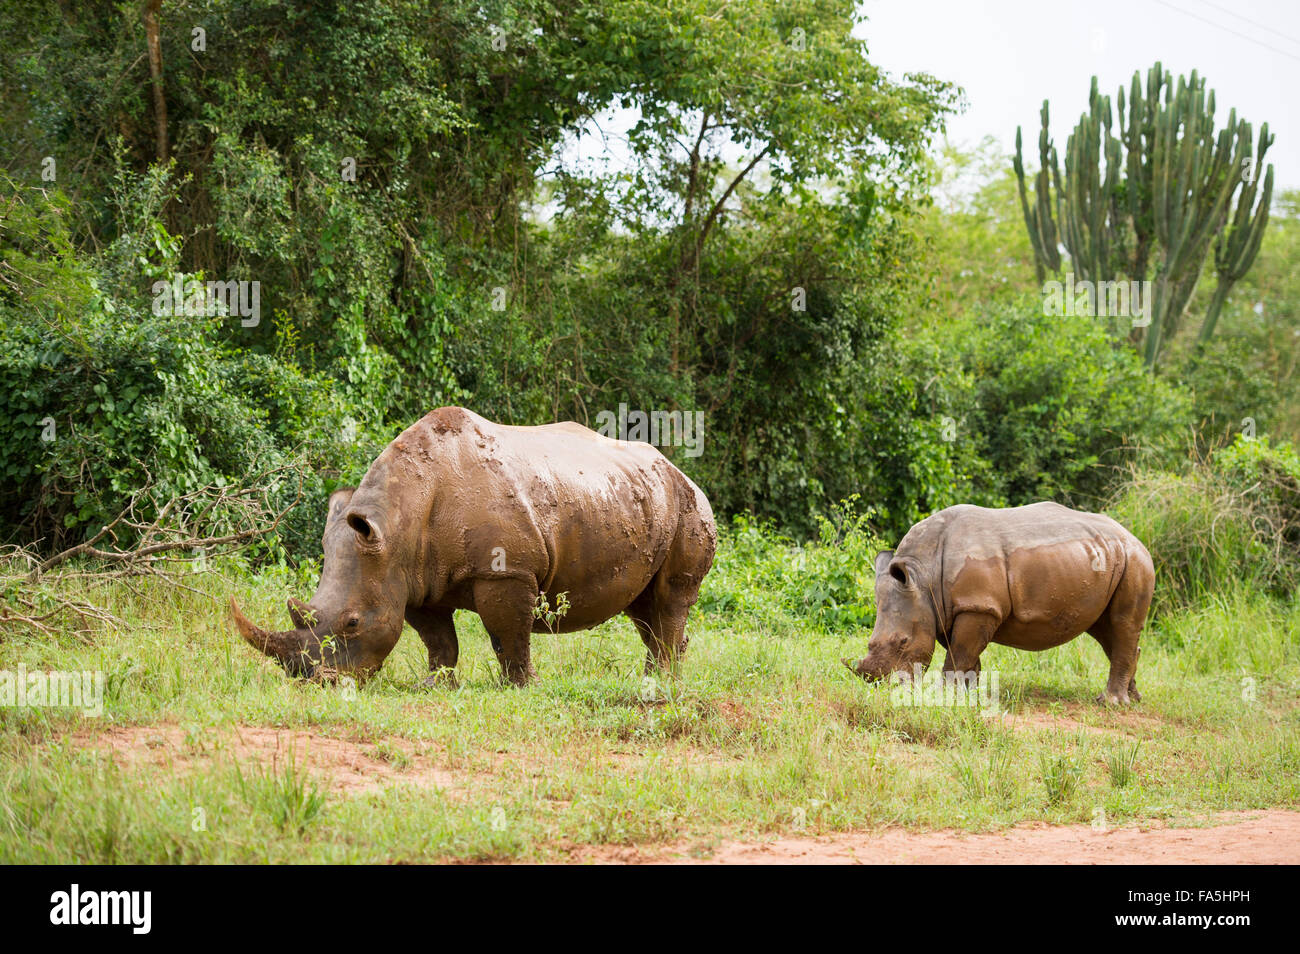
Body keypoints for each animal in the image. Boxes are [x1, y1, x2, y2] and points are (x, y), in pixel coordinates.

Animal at [231, 406, 716, 687]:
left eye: (352, 623)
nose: (317, 682)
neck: (396, 519)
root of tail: (679, 470)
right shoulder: (411, 577)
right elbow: (439, 640)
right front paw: (435, 686)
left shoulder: (505, 570)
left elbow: (508, 635)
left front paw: (520, 687)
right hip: (636, 496)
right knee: (643, 606)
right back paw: (659, 677)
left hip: (688, 505)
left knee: (670, 597)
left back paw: (660, 685)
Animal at [844, 502, 1154, 704]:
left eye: (903, 642)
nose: (885, 688)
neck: (922, 575)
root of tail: (1136, 538)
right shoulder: (945, 609)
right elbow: (965, 654)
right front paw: (969, 694)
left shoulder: (978, 606)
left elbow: (959, 653)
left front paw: (945, 697)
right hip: (1107, 556)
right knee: (1105, 630)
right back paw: (1133, 698)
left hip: (1135, 560)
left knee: (1122, 624)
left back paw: (1111, 703)